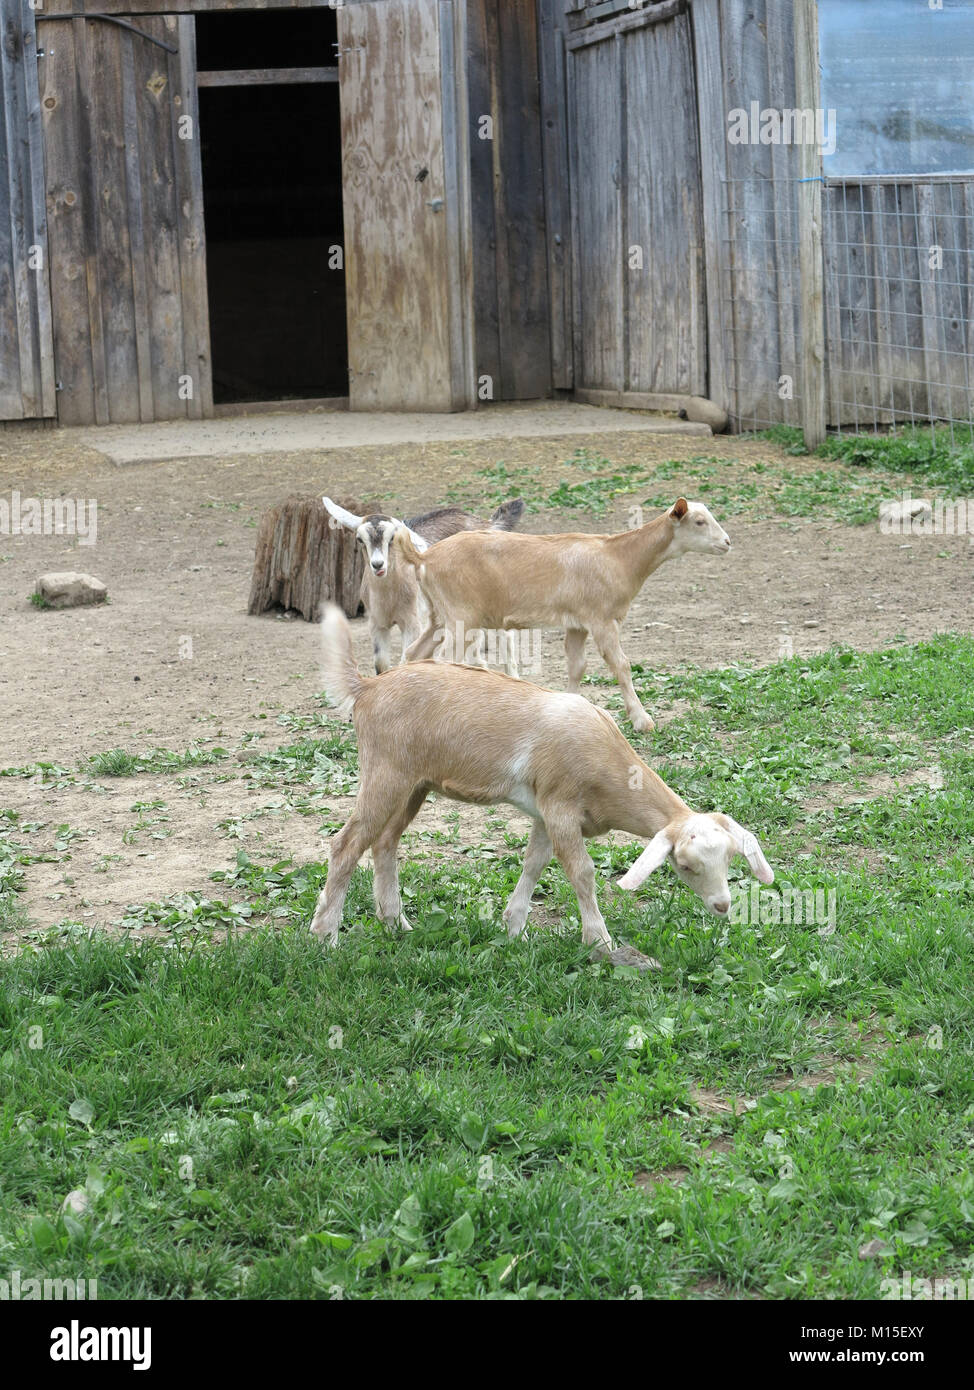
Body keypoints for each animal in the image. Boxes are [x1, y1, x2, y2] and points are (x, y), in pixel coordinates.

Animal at [310, 605, 774, 950]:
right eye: (685, 865)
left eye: (730, 859)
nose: (722, 906)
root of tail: (366, 688)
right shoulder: (561, 807)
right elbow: (582, 873)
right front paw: (600, 942)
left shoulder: (545, 813)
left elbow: (534, 863)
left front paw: (514, 928)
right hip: (385, 772)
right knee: (347, 844)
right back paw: (325, 936)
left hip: (414, 784)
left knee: (384, 842)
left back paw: (396, 925)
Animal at [322, 496, 524, 673]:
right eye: (360, 539)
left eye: (392, 537)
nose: (378, 565)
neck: (389, 596)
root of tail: (485, 524)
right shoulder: (377, 624)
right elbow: (381, 666)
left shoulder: (413, 623)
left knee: (506, 643)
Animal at [393, 498, 730, 733]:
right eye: (699, 521)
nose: (727, 542)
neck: (620, 557)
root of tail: (424, 557)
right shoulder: (602, 619)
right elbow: (621, 665)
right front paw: (642, 720)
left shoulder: (577, 623)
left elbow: (577, 667)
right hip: (460, 617)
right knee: (445, 661)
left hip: (439, 615)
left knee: (415, 653)